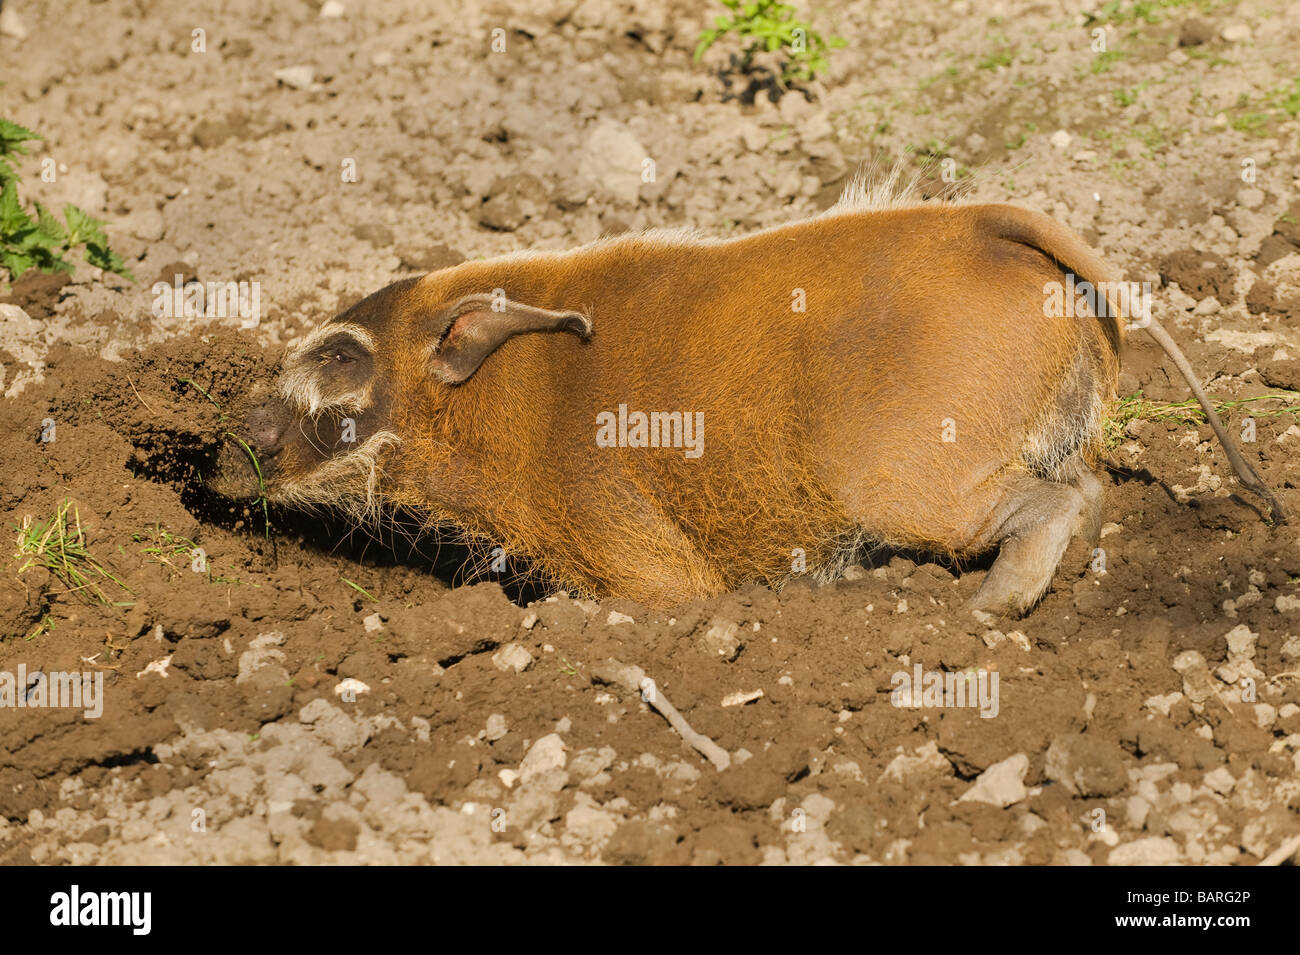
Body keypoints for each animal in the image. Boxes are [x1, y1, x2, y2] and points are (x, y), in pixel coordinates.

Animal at [210, 179, 1284, 614]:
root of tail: (992, 222)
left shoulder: (631, 557)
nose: (221, 445)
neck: (510, 399)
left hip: (908, 478)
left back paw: (986, 608)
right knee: (1092, 487)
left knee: (1050, 499)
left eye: (342, 357)